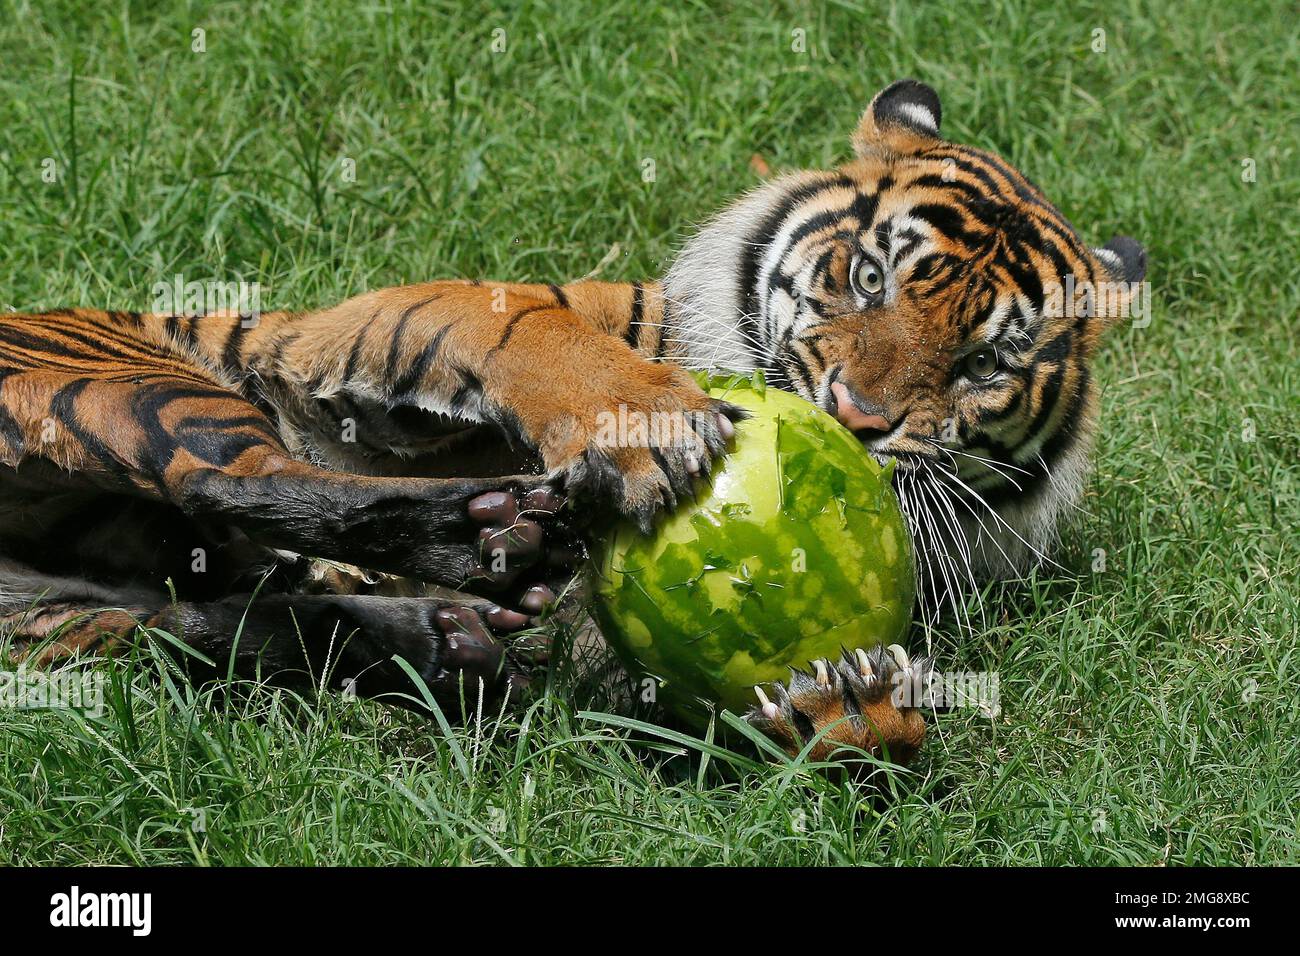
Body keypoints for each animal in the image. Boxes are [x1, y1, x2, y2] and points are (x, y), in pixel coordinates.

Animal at [0, 80, 1144, 769]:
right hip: (147, 385)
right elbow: (524, 326)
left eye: (982, 364)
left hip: (82, 630)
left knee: (208, 625)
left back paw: (447, 633)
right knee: (228, 482)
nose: (857, 419)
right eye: (869, 279)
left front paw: (854, 709)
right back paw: (479, 551)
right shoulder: (363, 346)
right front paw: (642, 422)